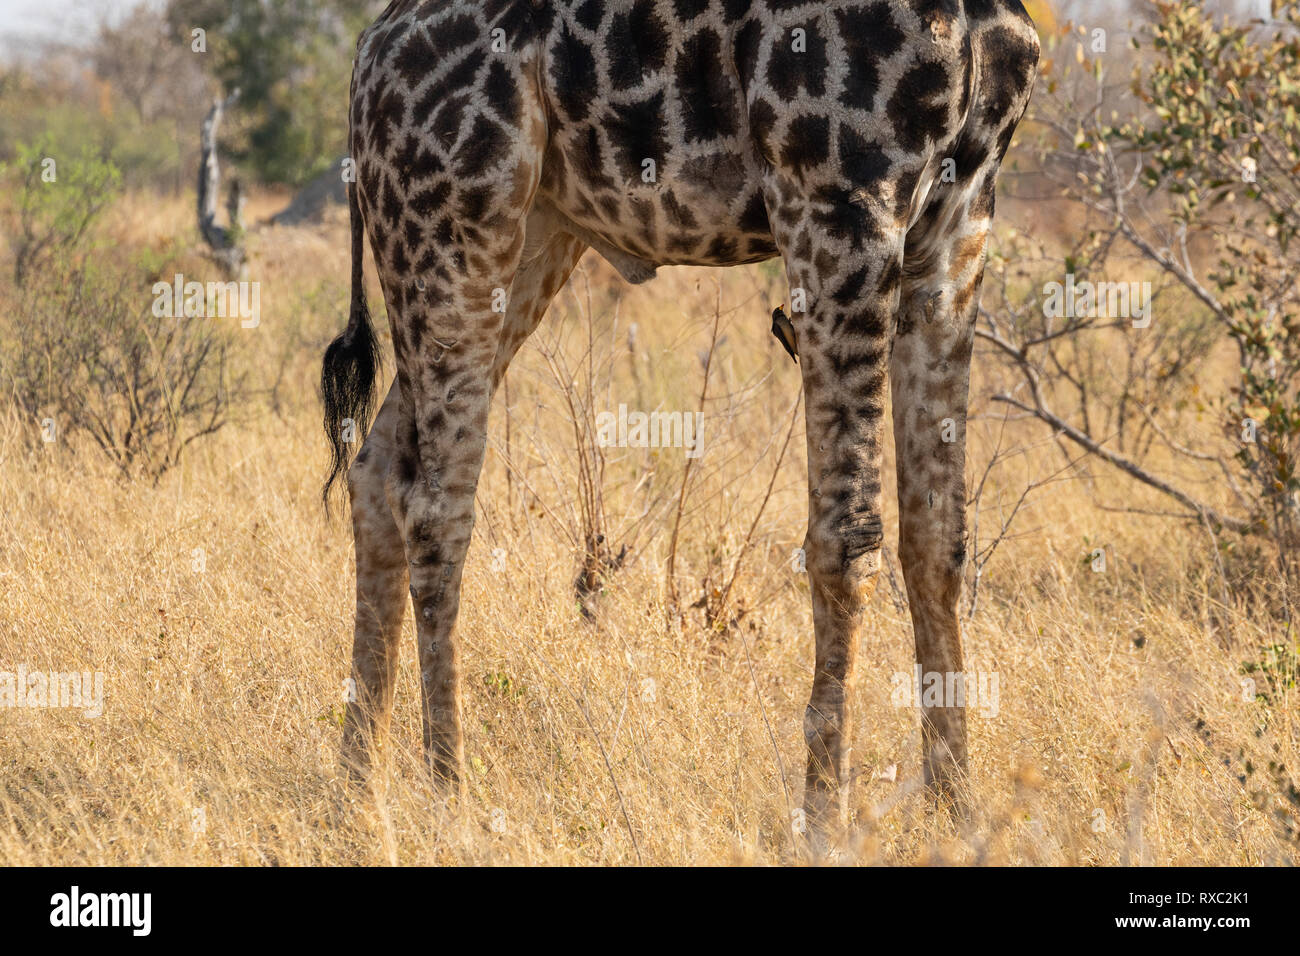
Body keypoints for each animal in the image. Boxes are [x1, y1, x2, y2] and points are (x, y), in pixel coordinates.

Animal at [322, 0, 1039, 838]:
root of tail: (367, 56)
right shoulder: (841, 209)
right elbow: (847, 536)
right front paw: (824, 820)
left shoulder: (959, 222)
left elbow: (938, 538)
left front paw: (960, 813)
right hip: (452, 226)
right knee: (433, 503)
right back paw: (450, 796)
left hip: (530, 236)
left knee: (376, 472)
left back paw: (354, 795)